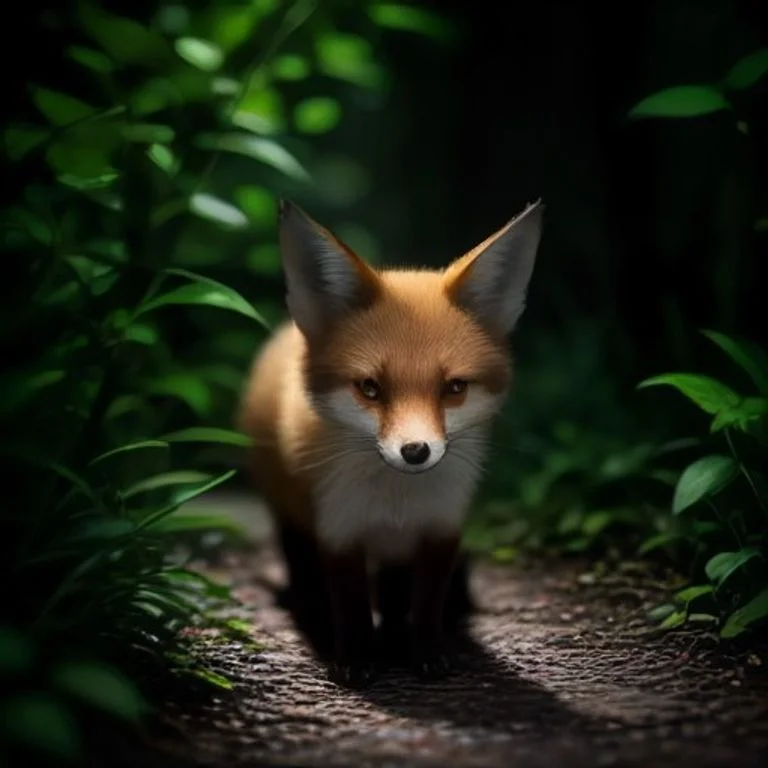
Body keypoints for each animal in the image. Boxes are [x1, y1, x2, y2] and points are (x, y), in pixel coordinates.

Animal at [237, 198, 543, 687]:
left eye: (454, 388)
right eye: (370, 388)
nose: (415, 451)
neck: (396, 504)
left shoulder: (441, 526)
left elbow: (425, 605)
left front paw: (424, 654)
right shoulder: (338, 528)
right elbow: (352, 607)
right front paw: (356, 660)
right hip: (289, 512)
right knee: (300, 561)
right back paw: (309, 607)